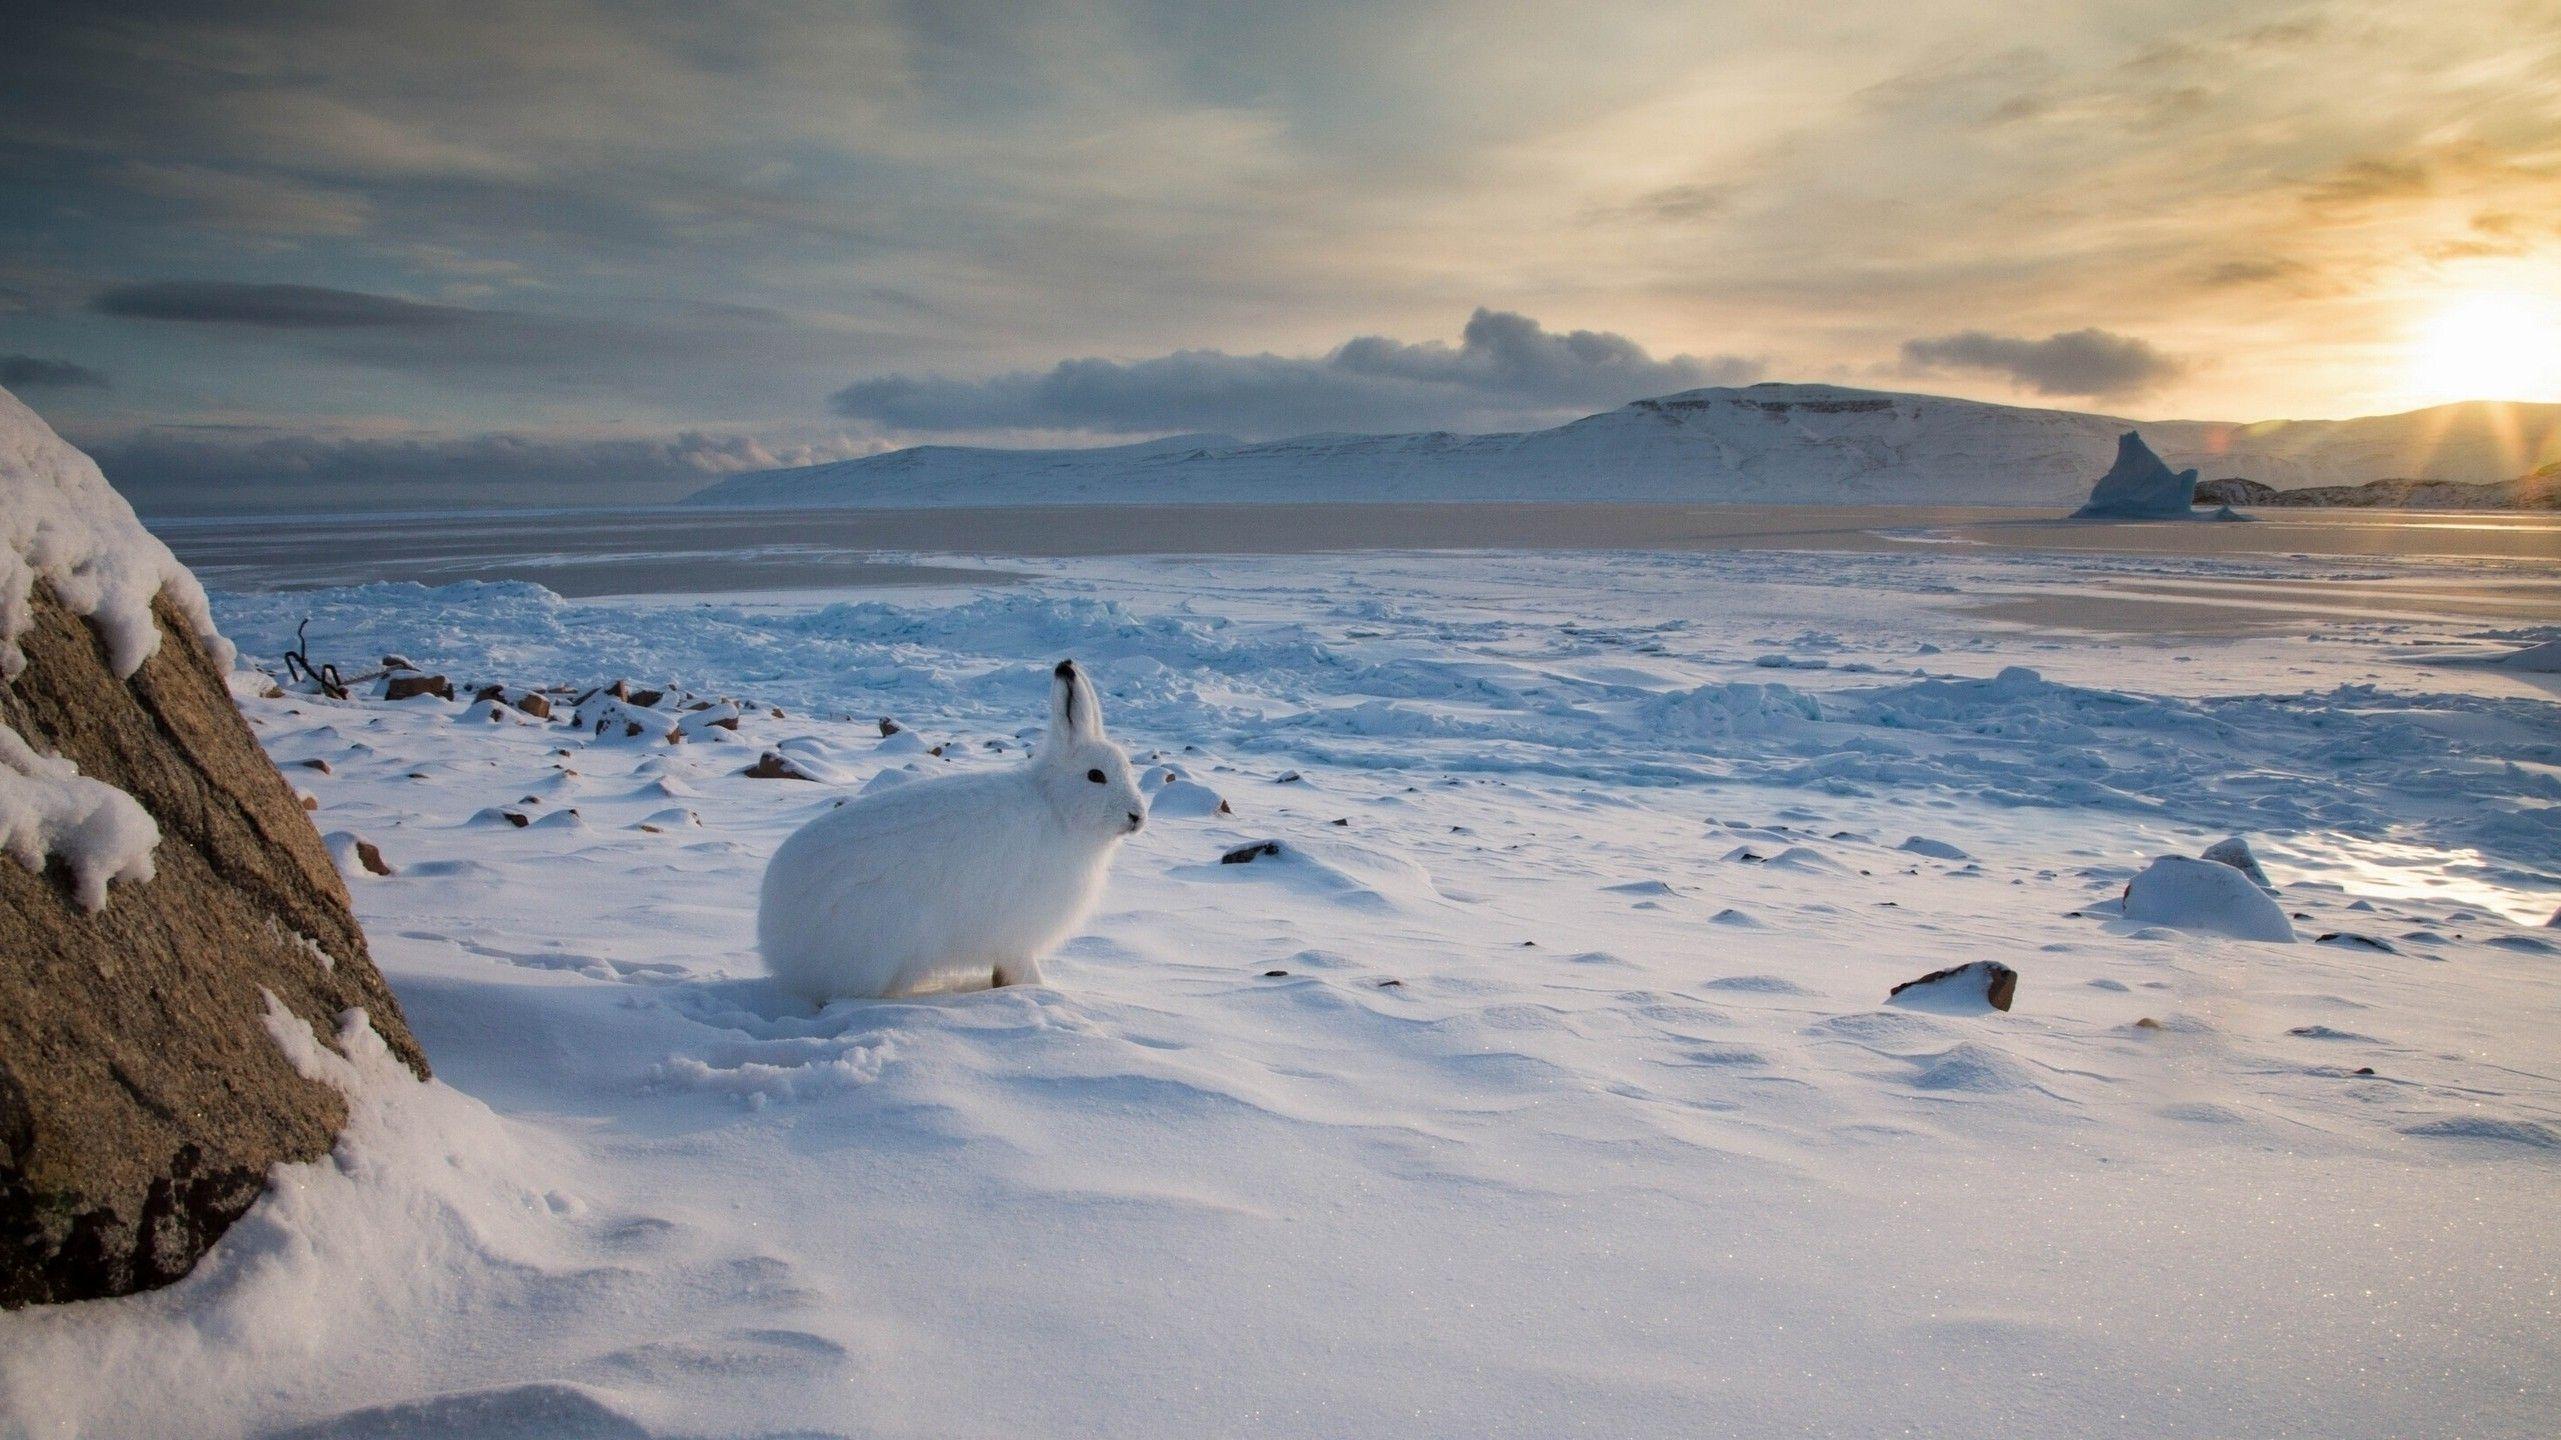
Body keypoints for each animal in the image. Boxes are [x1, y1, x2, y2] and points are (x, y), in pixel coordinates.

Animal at [758, 659, 1147, 1001]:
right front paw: (1040, 989)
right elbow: (1020, 966)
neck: (1057, 807)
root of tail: (775, 937)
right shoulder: (1017, 932)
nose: (1138, 816)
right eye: (1096, 776)